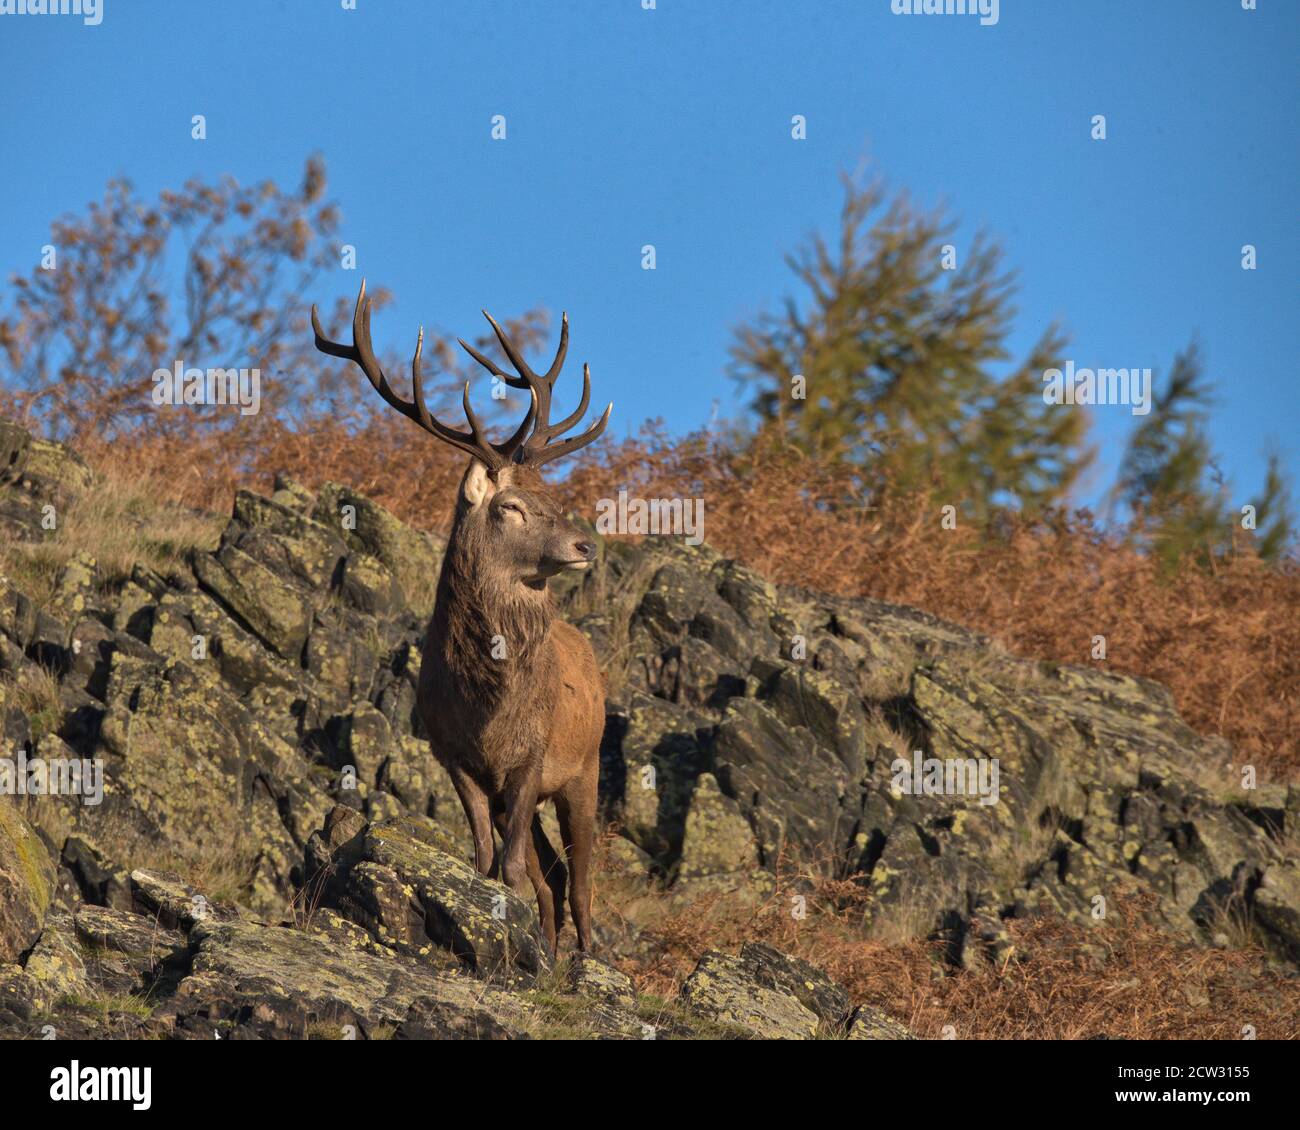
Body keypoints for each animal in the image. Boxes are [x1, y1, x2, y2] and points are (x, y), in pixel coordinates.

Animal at [311, 281, 611, 955]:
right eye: (512, 506)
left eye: (554, 498)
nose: (585, 544)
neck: (487, 706)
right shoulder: (456, 758)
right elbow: (486, 862)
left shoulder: (533, 756)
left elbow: (515, 867)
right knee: (556, 877)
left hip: (586, 765)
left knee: (581, 877)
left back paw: (585, 959)